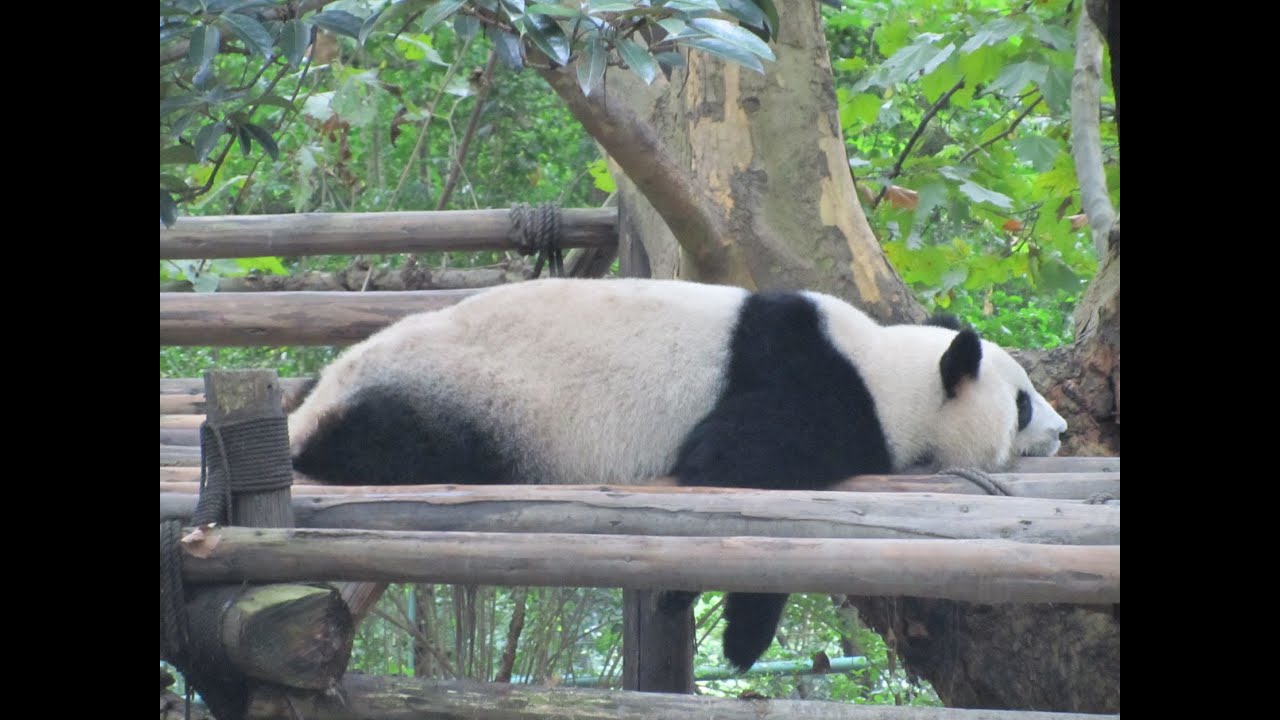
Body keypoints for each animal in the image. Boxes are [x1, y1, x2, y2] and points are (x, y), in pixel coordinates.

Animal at [288, 277, 1068, 672]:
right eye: (1023, 402)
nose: (1062, 433)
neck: (884, 368)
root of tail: (307, 411)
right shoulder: (808, 384)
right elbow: (730, 470)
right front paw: (732, 636)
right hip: (467, 400)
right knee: (397, 445)